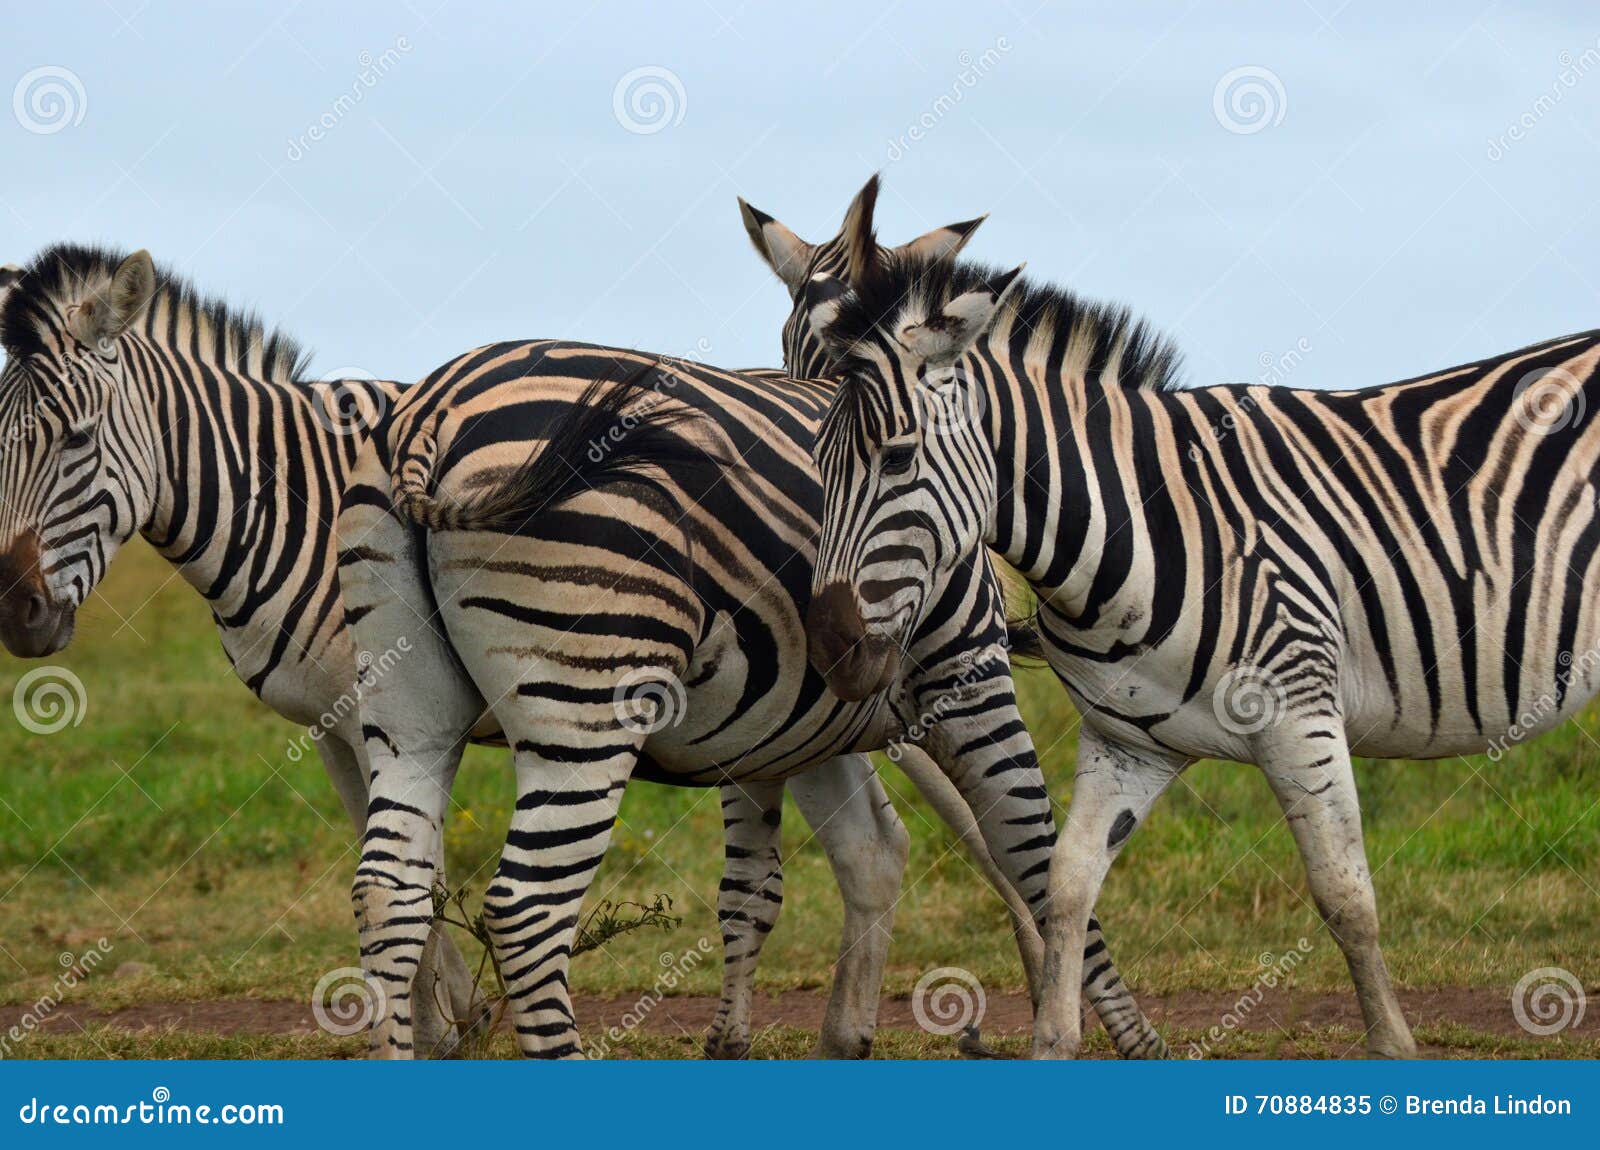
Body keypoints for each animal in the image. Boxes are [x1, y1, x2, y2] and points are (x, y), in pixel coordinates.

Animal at [0, 242, 1034, 1060]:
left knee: (975, 824)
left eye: (77, 441)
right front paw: (444, 1018)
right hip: (807, 706)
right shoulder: (351, 721)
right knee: (883, 845)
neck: (289, 492)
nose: (18, 615)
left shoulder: (364, 711)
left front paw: (448, 1019)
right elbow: (396, 872)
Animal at [335, 325, 1167, 1057]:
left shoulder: (791, 723)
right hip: (584, 698)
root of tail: (434, 412)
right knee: (527, 909)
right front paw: (1113, 1033)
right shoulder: (964, 677)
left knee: (389, 893)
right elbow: (1038, 855)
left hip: (405, 707)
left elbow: (850, 859)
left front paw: (831, 1041)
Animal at [798, 230, 1600, 1059]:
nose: (828, 647)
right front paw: (1052, 1044)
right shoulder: (1127, 741)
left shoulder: (1300, 714)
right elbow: (1066, 885)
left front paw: (1393, 1049)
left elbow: (1345, 897)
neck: (1137, 524)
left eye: (897, 457)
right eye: (817, 463)